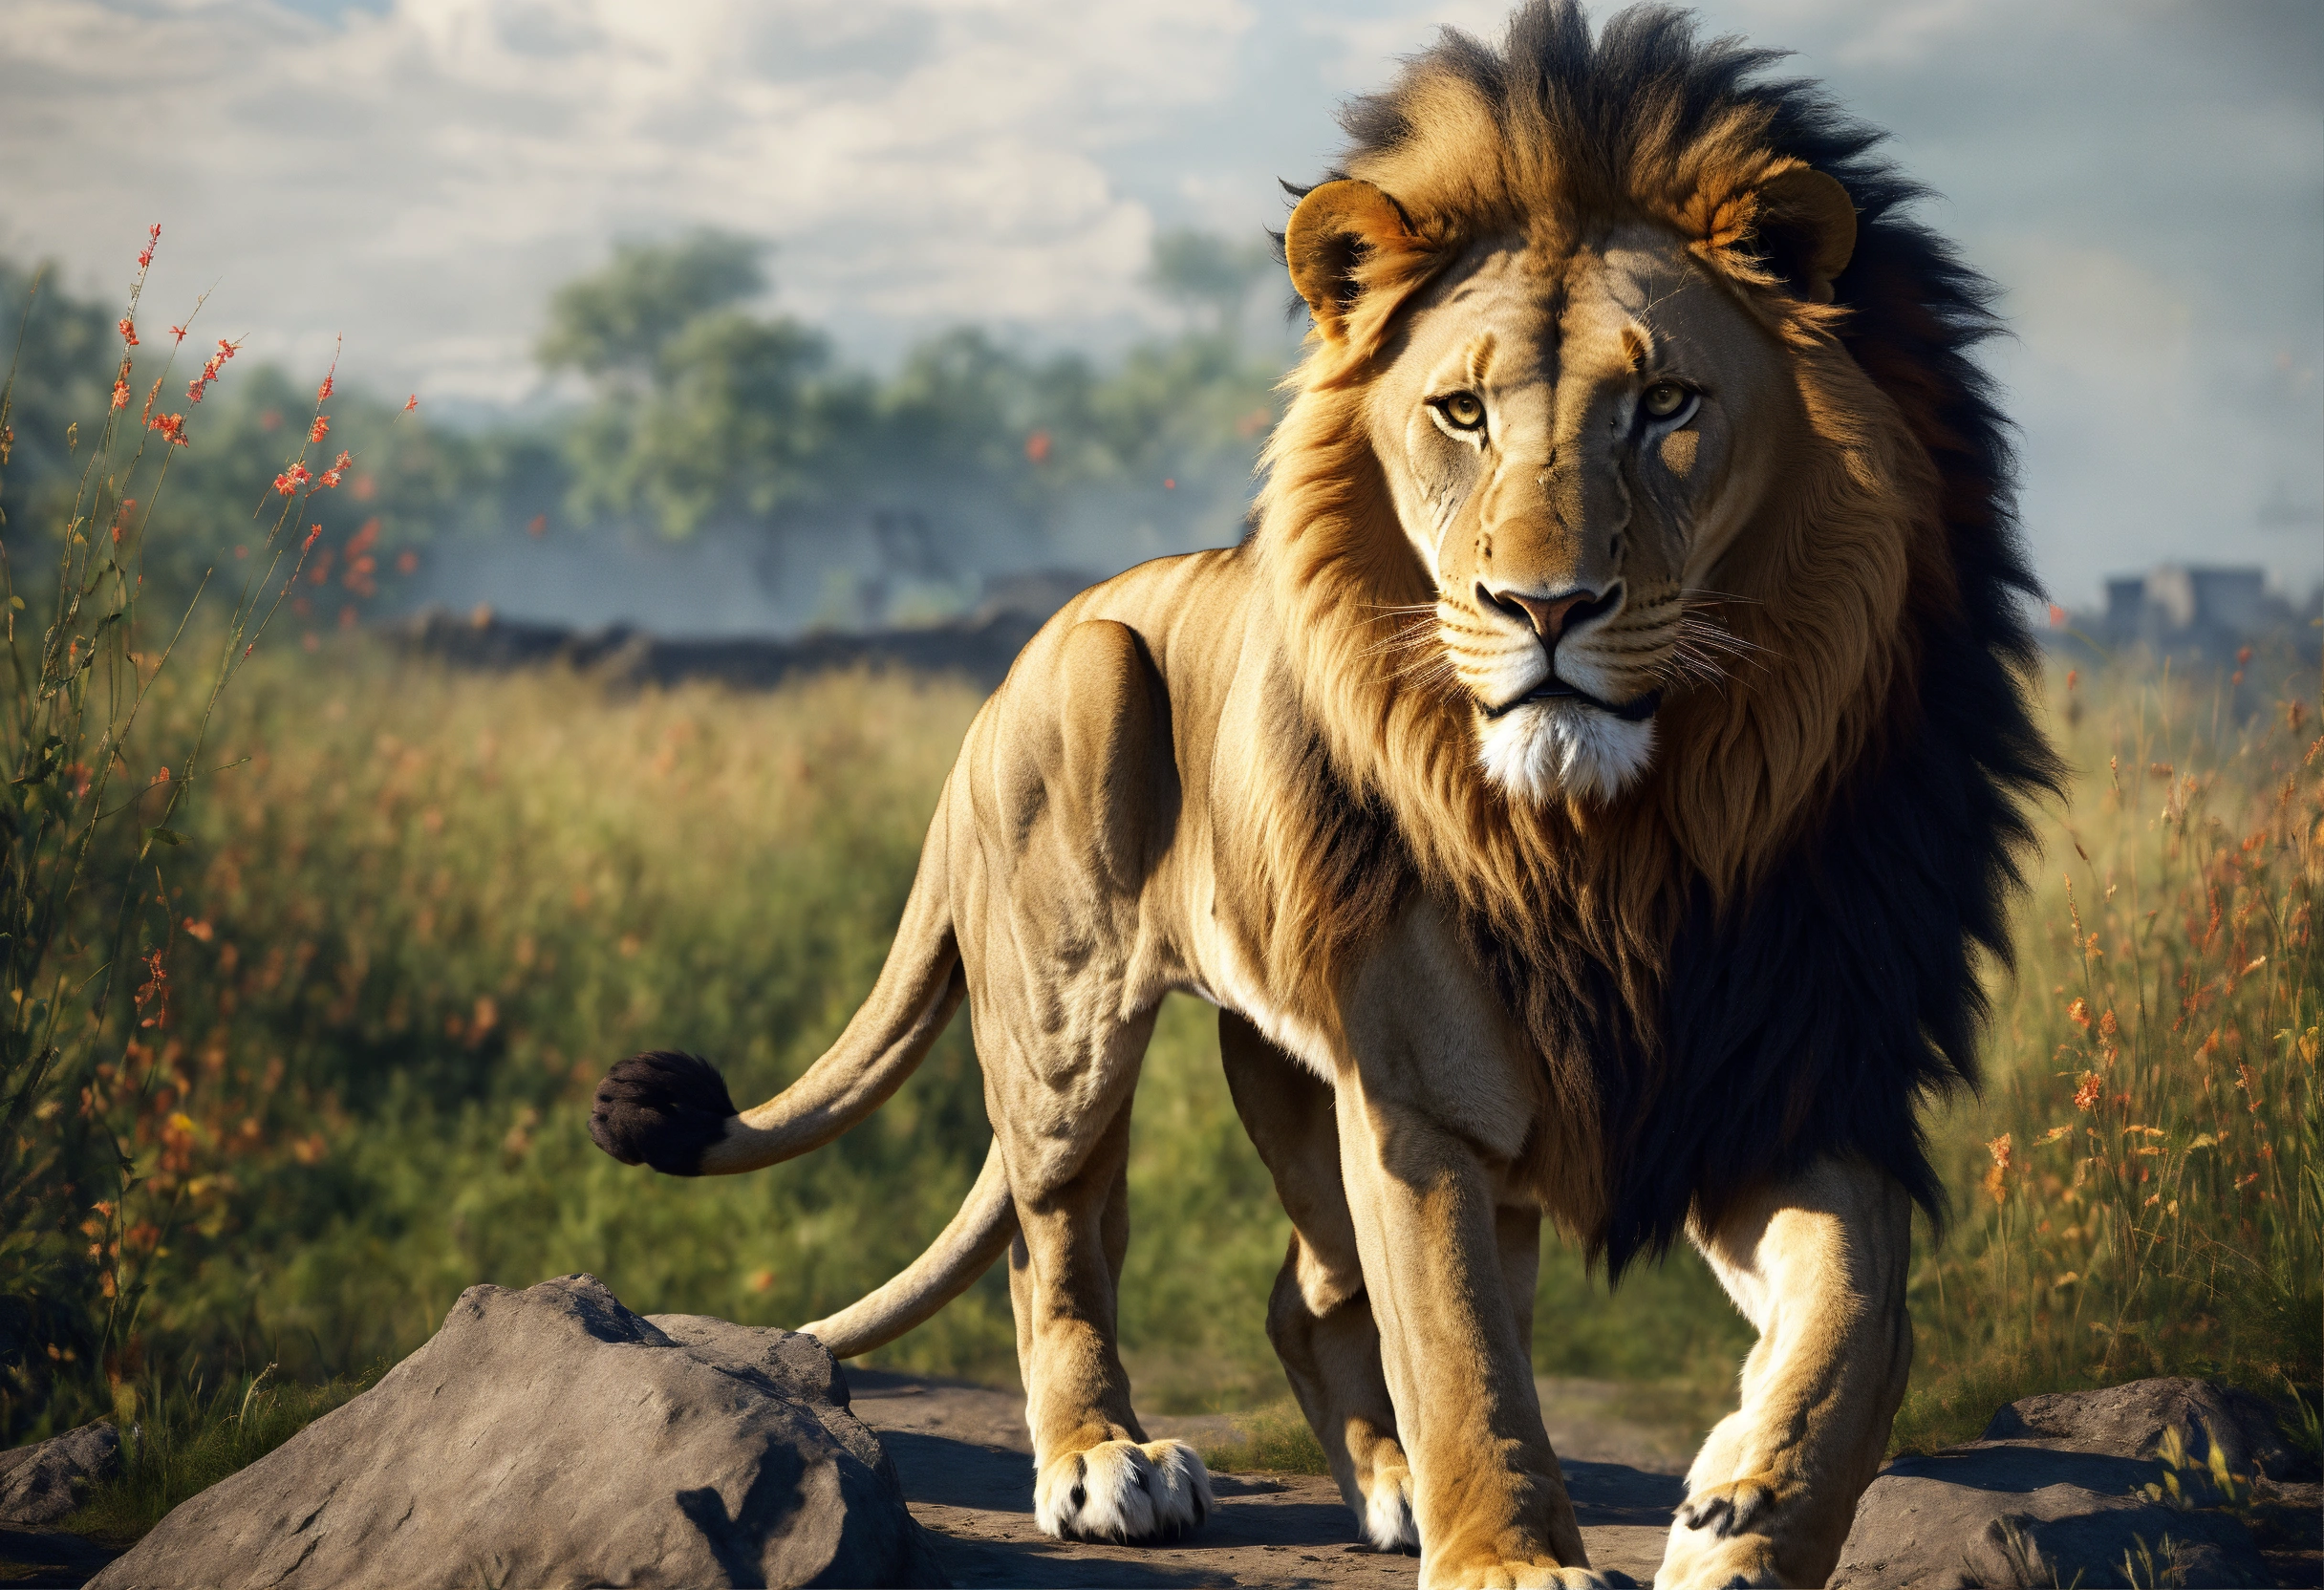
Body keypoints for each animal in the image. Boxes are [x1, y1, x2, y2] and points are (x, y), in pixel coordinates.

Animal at [588, 5, 2056, 1585]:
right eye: (1461, 413)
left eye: (1666, 403)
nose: (1544, 607)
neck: (1627, 839)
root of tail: (1030, 651)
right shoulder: (1415, 1101)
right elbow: (1462, 1354)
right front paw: (1511, 1558)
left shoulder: (1783, 1068)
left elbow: (1858, 1320)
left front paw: (1742, 1516)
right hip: (1074, 958)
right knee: (1062, 1242)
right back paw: (1105, 1464)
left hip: (1297, 1070)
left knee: (1304, 1295)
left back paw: (1388, 1484)